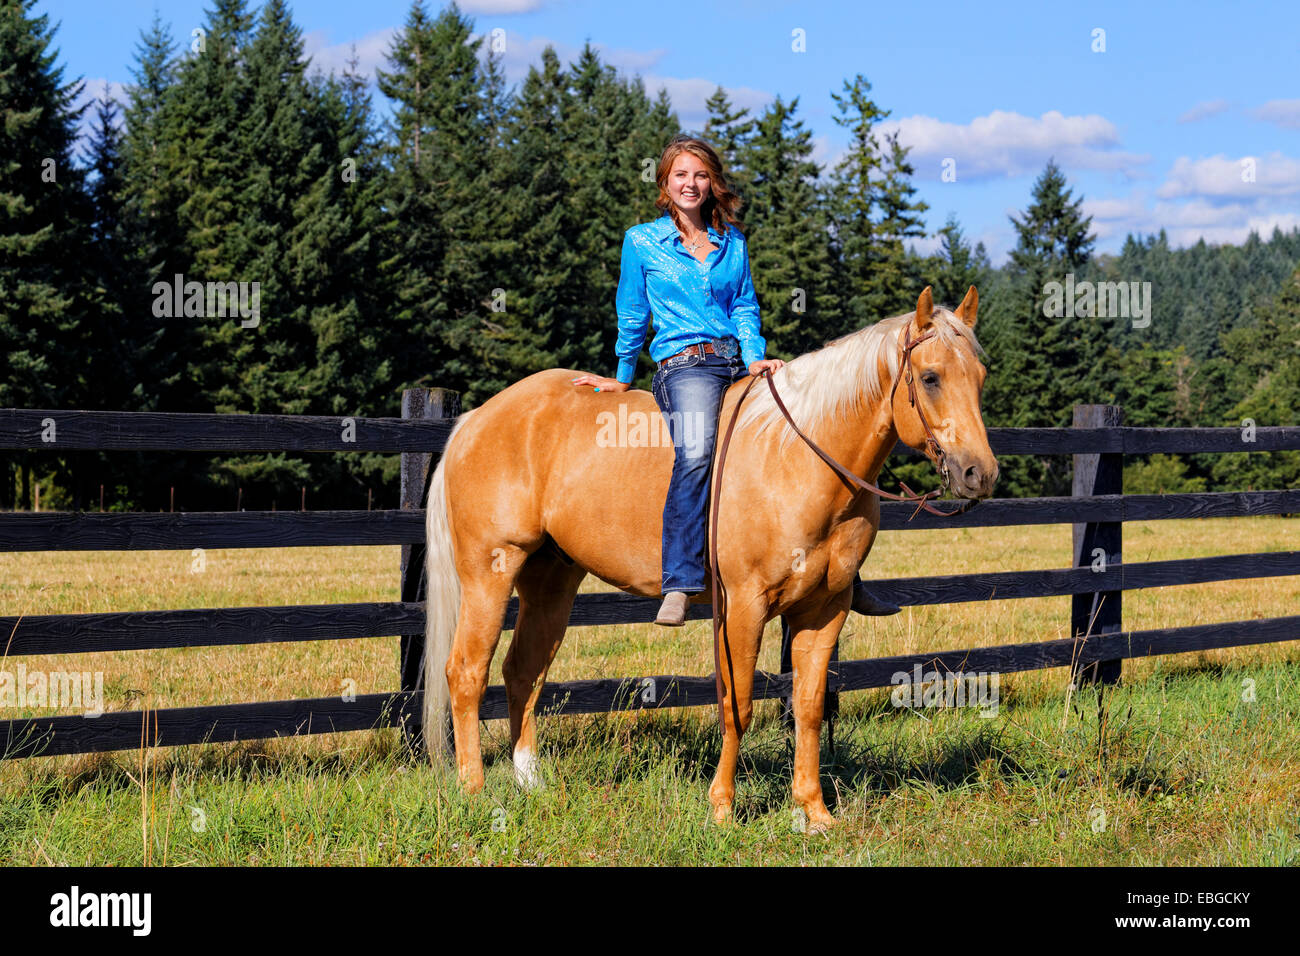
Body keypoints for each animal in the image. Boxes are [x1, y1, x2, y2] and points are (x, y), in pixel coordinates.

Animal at [422, 285, 997, 828]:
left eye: (980, 376)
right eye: (930, 377)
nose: (980, 474)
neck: (795, 456)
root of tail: (477, 417)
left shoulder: (824, 608)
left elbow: (809, 706)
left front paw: (813, 812)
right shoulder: (743, 606)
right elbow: (737, 704)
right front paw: (722, 808)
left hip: (551, 580)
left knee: (522, 671)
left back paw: (530, 784)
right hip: (489, 573)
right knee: (466, 671)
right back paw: (475, 791)